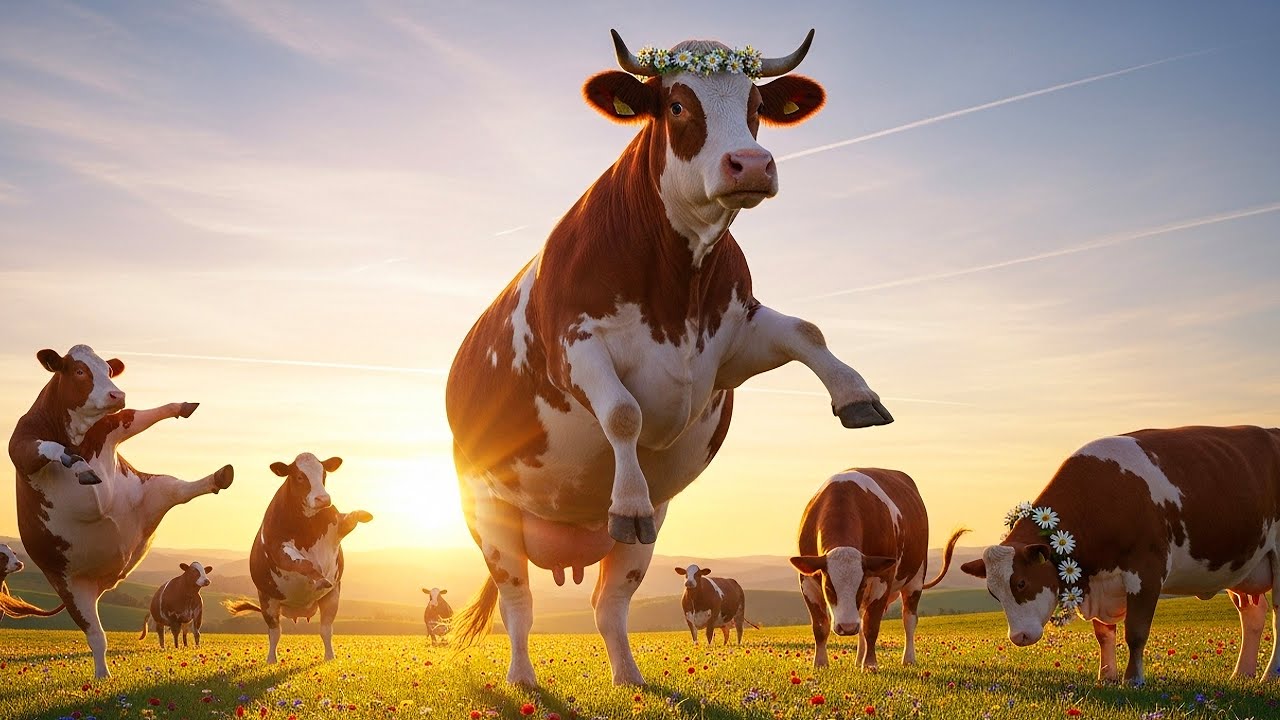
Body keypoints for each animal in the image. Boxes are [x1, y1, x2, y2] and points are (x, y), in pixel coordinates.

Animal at [8, 345, 234, 677]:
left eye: (108, 370)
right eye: (80, 370)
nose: (117, 394)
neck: (77, 434)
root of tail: (108, 579)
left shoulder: (110, 428)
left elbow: (134, 416)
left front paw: (181, 406)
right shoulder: (21, 448)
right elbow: (49, 448)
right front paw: (76, 464)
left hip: (152, 494)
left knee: (179, 490)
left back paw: (220, 476)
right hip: (72, 588)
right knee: (96, 636)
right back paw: (102, 675)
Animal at [222, 453, 373, 663]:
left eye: (324, 473)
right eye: (300, 477)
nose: (323, 498)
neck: (308, 525)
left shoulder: (336, 526)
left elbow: (351, 518)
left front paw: (364, 514)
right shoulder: (278, 548)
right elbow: (301, 561)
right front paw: (318, 578)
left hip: (332, 597)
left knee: (326, 630)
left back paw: (330, 657)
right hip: (268, 601)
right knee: (275, 632)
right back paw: (271, 660)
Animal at [446, 28, 891, 687]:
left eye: (757, 108)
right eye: (678, 106)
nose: (750, 164)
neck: (677, 282)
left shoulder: (733, 339)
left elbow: (806, 332)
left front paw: (857, 395)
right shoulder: (573, 348)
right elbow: (624, 411)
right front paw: (627, 497)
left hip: (639, 546)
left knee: (608, 605)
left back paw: (629, 678)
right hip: (491, 514)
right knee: (518, 602)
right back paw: (523, 678)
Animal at [789, 468, 968, 670]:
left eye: (860, 586)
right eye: (828, 587)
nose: (847, 627)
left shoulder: (882, 580)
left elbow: (871, 627)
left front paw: (869, 665)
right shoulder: (807, 581)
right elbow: (820, 626)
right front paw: (820, 664)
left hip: (915, 578)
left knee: (908, 620)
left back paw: (908, 658)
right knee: (862, 619)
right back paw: (858, 658)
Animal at [960, 425, 1280, 684]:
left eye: (1022, 583)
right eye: (993, 593)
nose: (1018, 637)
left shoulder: (1147, 571)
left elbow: (1135, 632)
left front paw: (1133, 678)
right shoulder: (1096, 582)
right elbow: (1104, 634)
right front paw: (1107, 676)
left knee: (1276, 616)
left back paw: (1269, 675)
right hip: (1245, 566)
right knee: (1253, 616)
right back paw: (1242, 673)